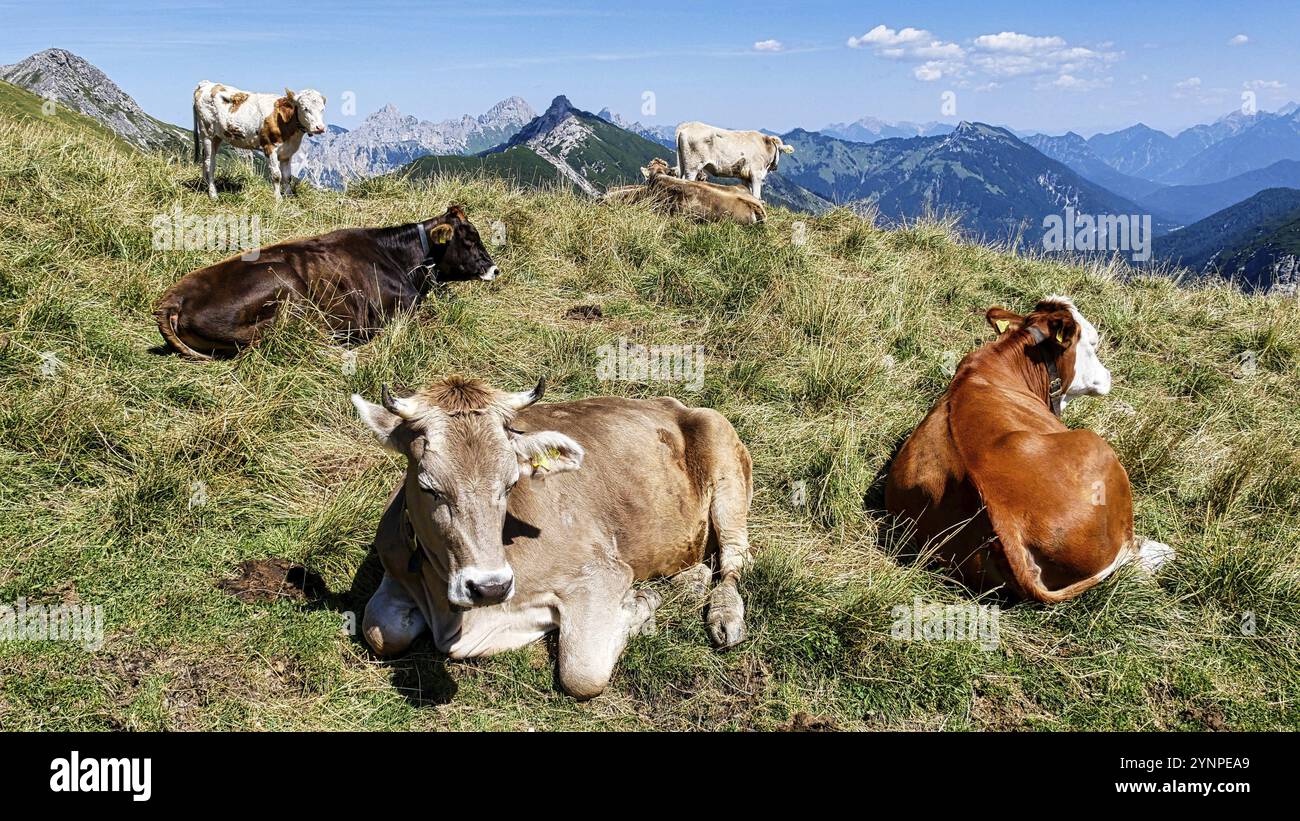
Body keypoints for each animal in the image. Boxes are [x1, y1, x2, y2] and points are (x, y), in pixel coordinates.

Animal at [154, 206, 497, 359]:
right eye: (470, 239)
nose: (494, 269)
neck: (399, 258)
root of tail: (174, 297)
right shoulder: (401, 309)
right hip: (285, 284)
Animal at [193, 81, 327, 200]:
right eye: (305, 108)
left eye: (322, 109)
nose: (320, 128)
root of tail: (206, 84)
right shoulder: (270, 146)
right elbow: (276, 175)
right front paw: (278, 199)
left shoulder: (287, 153)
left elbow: (287, 177)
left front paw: (289, 198)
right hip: (207, 133)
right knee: (210, 163)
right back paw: (213, 194)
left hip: (217, 137)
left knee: (206, 159)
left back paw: (205, 185)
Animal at [351, 376, 755, 699]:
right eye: (428, 488)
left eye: (510, 483)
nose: (490, 587)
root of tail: (670, 403)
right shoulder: (394, 563)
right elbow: (378, 631)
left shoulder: (601, 572)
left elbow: (582, 674)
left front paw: (638, 604)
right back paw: (691, 581)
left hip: (726, 465)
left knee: (734, 559)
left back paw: (724, 615)